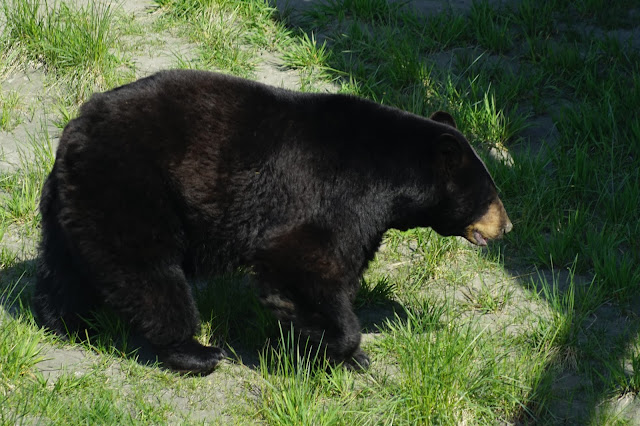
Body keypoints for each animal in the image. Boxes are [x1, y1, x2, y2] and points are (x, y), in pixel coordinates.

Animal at [34, 69, 512, 375]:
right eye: (491, 194)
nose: (506, 227)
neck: (389, 173)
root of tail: (72, 133)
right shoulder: (333, 197)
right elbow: (304, 262)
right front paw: (338, 344)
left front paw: (340, 350)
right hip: (133, 188)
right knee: (149, 273)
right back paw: (196, 352)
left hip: (79, 203)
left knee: (66, 265)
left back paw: (65, 321)